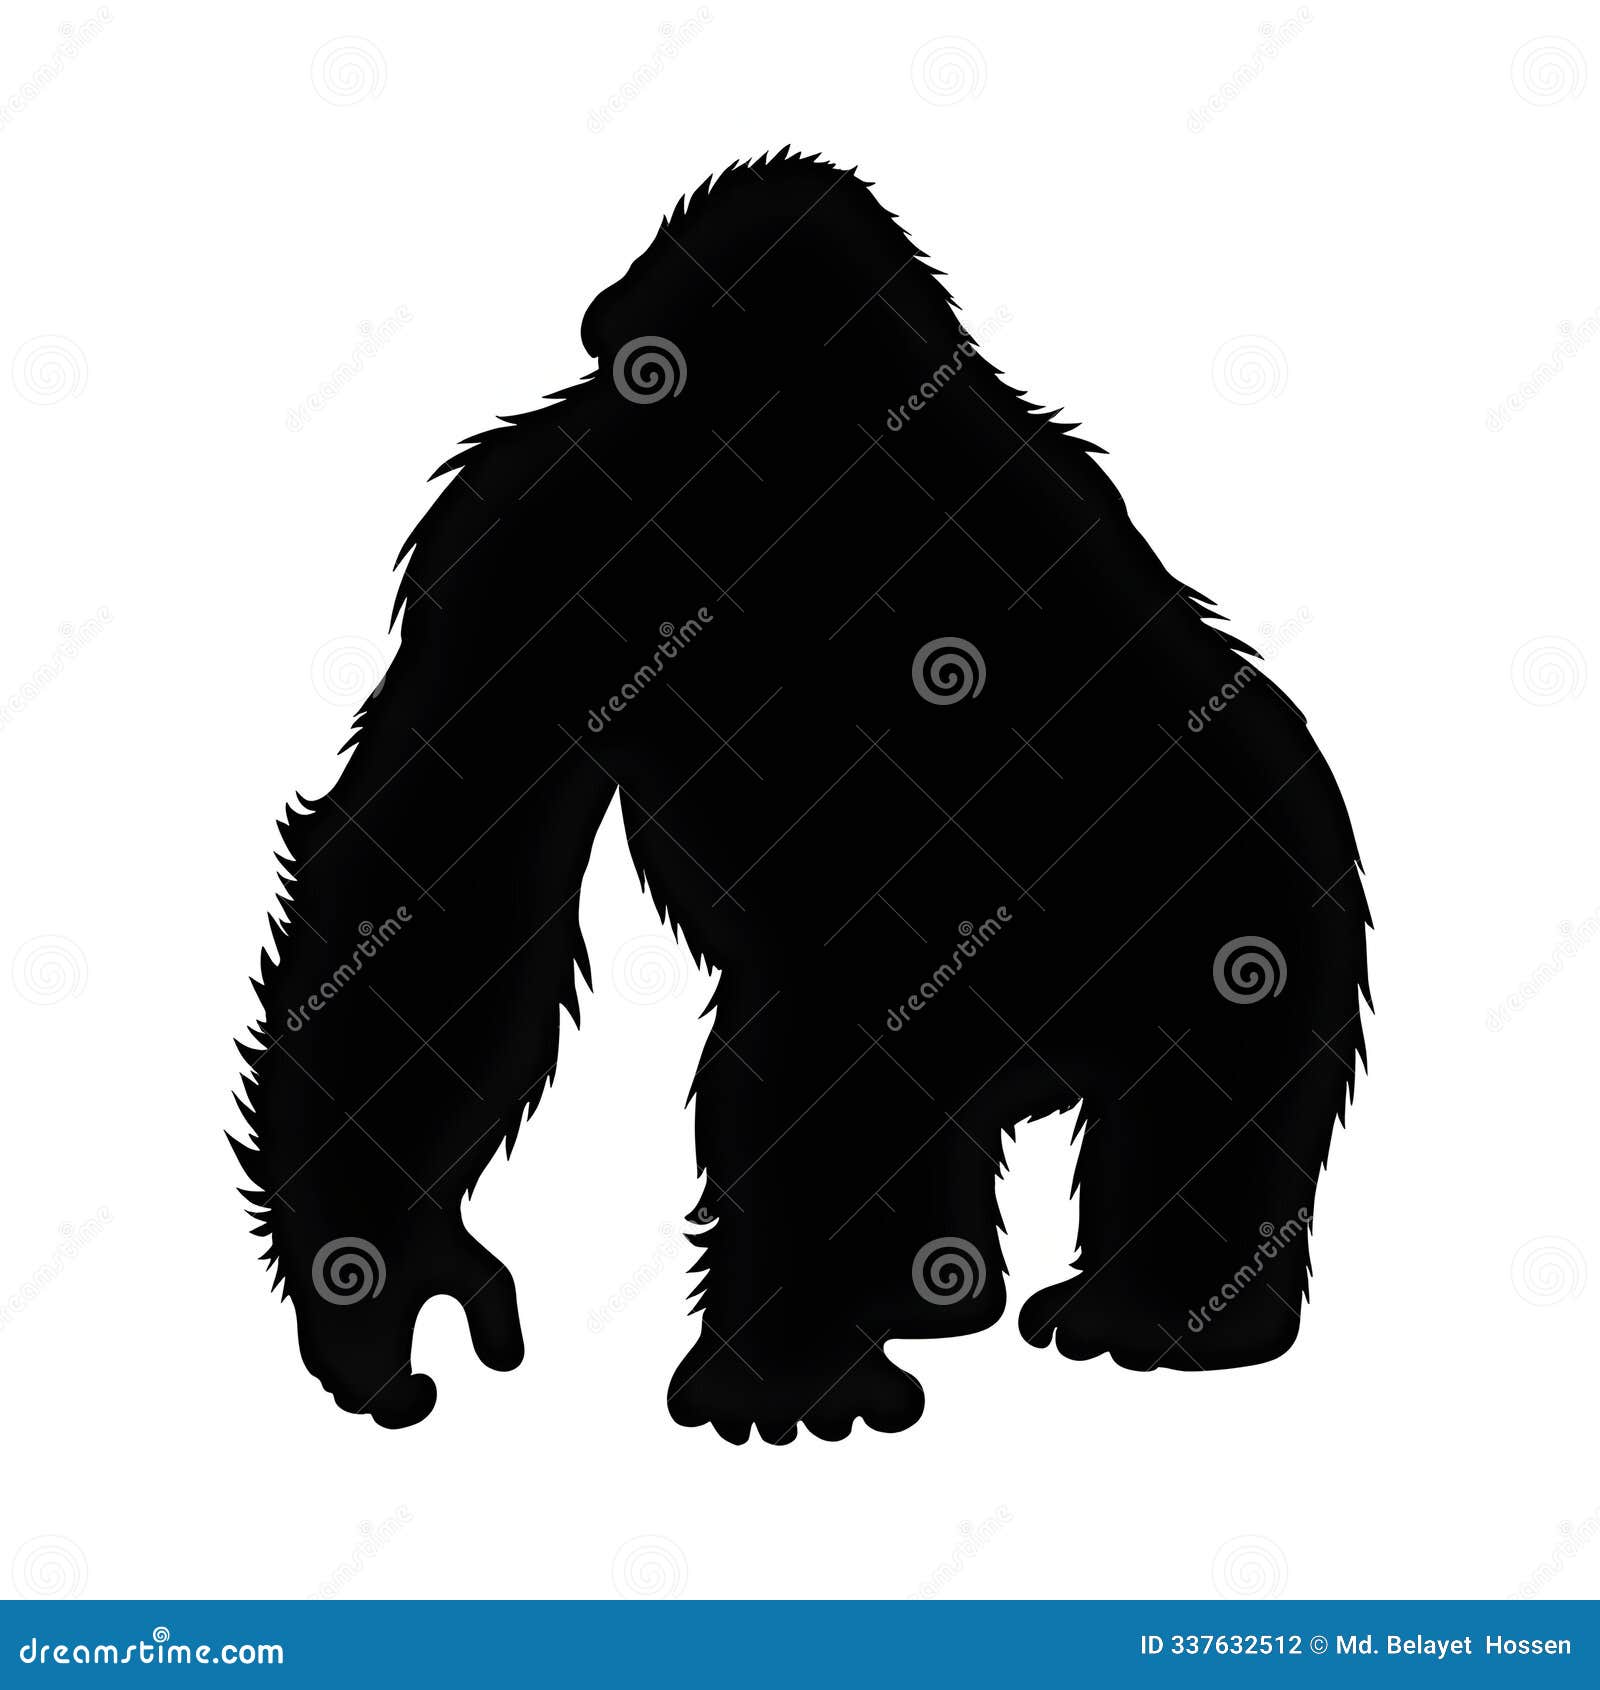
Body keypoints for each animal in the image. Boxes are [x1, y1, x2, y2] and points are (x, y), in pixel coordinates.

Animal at [233, 149, 1369, 1444]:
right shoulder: (525, 526)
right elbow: (443, 859)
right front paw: (377, 1271)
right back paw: (939, 1298)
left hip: (1261, 904)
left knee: (1194, 1069)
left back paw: (1145, 1314)